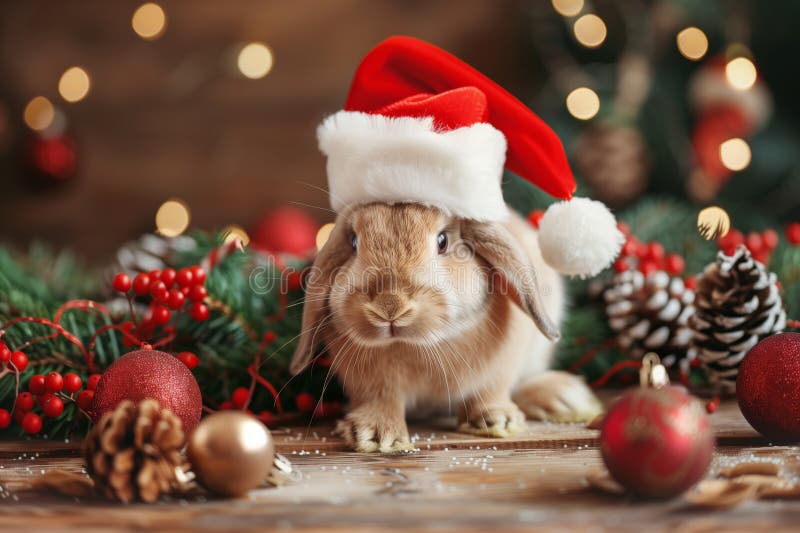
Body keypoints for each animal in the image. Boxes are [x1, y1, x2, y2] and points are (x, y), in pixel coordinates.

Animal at [290, 201, 602, 453]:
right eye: (354, 242)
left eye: (442, 241)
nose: (389, 306)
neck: (423, 345)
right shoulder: (369, 384)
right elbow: (380, 399)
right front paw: (374, 435)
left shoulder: (499, 369)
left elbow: (490, 390)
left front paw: (496, 421)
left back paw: (563, 400)